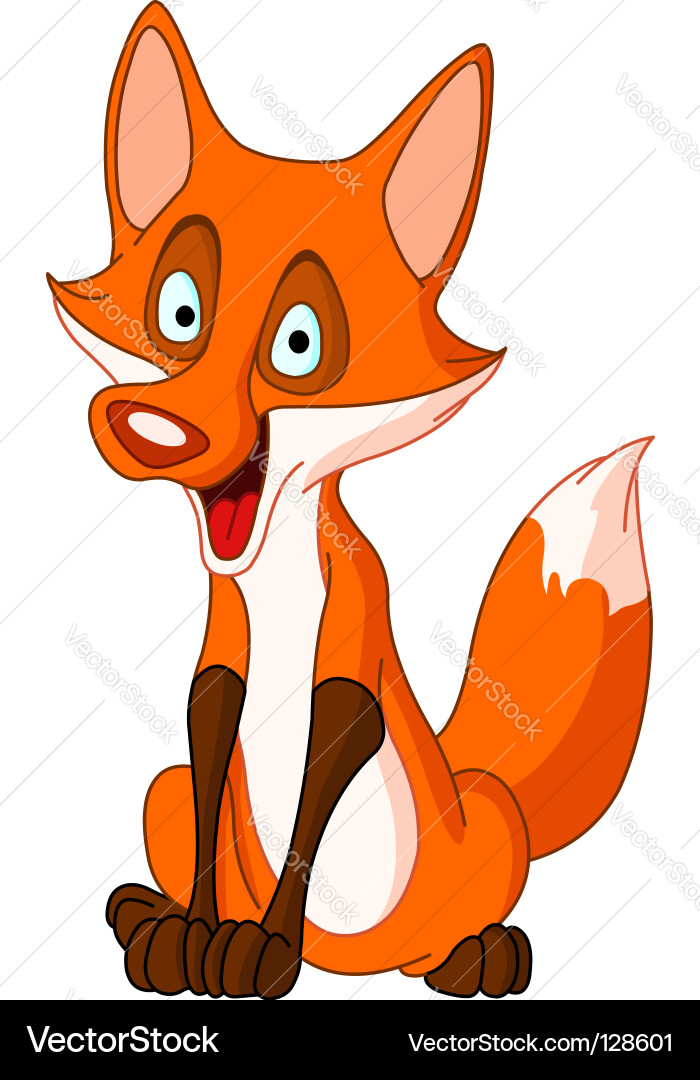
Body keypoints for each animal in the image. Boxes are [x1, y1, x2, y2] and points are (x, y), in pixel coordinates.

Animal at [47, 3, 652, 999]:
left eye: (299, 343)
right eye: (179, 312)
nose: (156, 427)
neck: (281, 579)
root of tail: (360, 962)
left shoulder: (355, 630)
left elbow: (328, 756)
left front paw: (263, 951)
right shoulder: (223, 645)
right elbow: (209, 728)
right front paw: (194, 936)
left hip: (483, 831)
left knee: (463, 919)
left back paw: (473, 955)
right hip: (161, 791)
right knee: (181, 801)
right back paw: (154, 914)